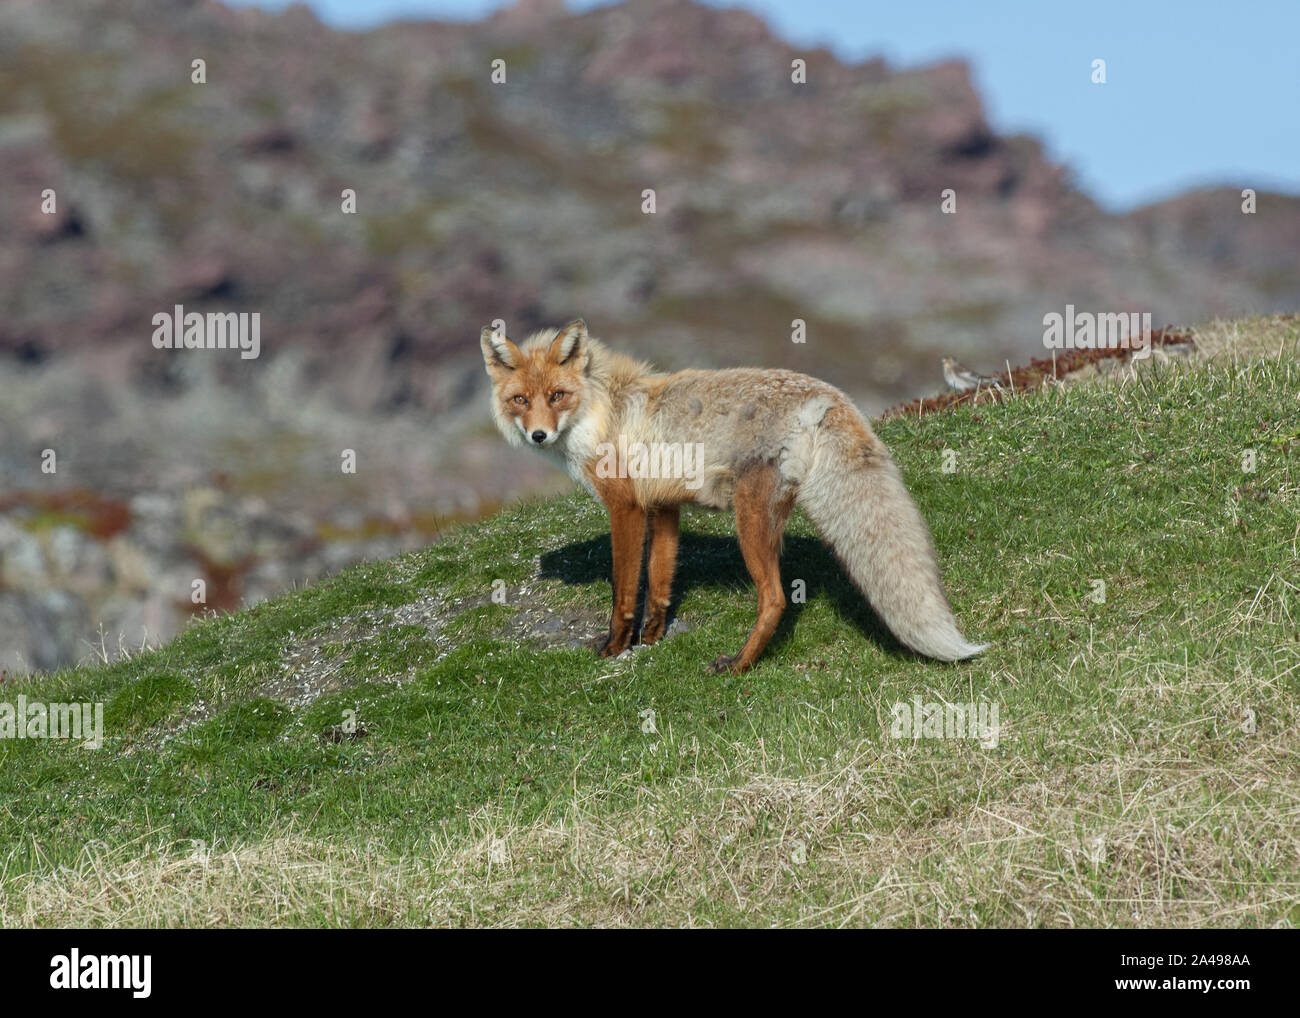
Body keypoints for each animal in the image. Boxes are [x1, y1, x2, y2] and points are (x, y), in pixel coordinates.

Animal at [480, 318, 987, 674]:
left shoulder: (626, 508)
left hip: (750, 520)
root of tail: (827, 395)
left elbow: (624, 592)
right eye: (520, 400)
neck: (603, 413)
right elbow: (659, 585)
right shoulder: (663, 506)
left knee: (777, 599)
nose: (540, 435)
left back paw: (740, 664)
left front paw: (615, 649)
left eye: (557, 395)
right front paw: (651, 640)